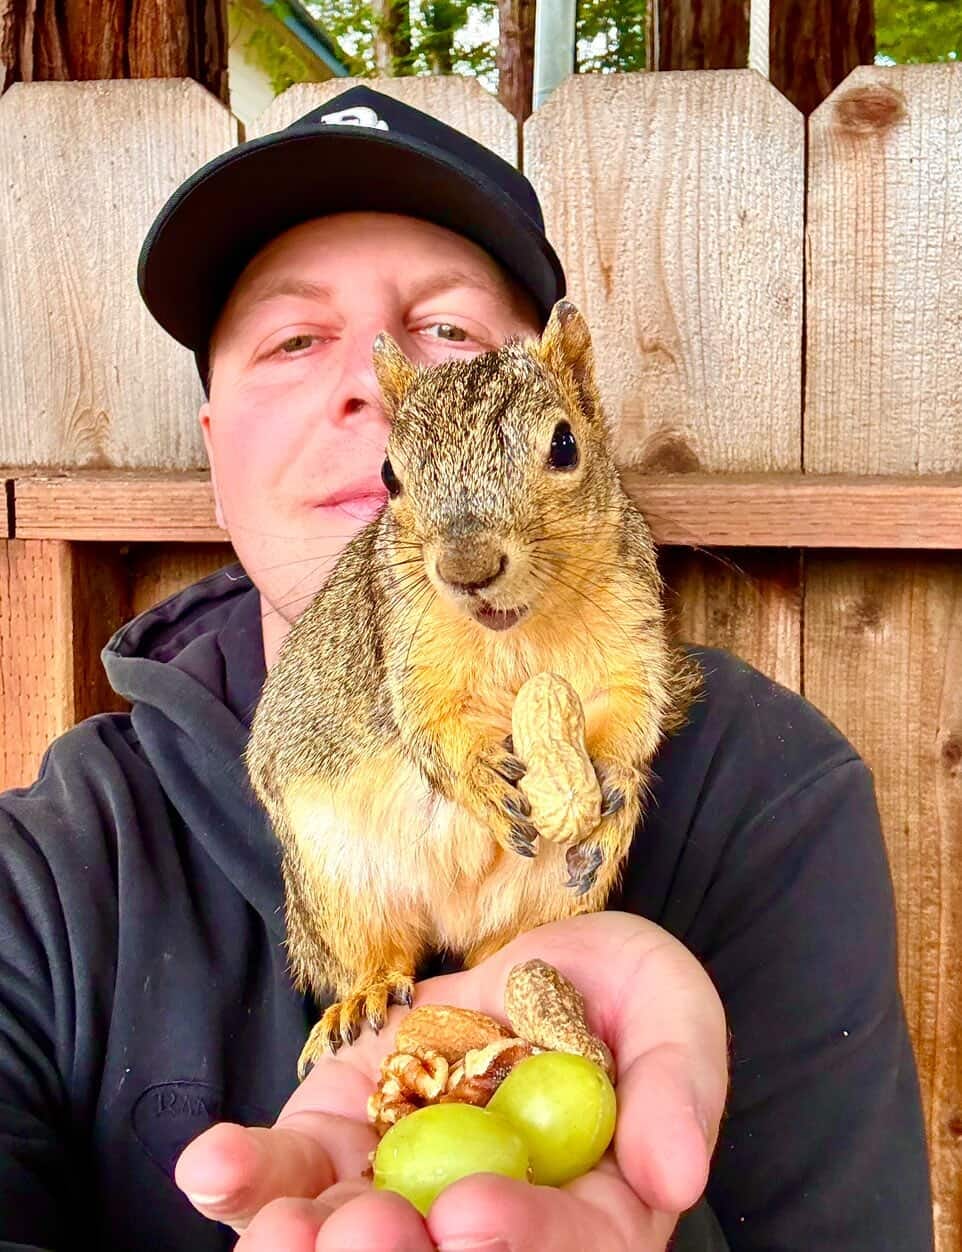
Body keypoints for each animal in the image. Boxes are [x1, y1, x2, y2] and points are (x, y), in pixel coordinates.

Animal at [244, 300, 702, 1079]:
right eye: (389, 475)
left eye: (564, 445)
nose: (467, 569)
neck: (518, 629)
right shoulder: (409, 641)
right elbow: (429, 723)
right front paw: (483, 774)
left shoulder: (630, 622)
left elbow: (628, 703)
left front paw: (609, 773)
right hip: (337, 880)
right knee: (376, 951)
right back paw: (363, 996)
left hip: (551, 900)